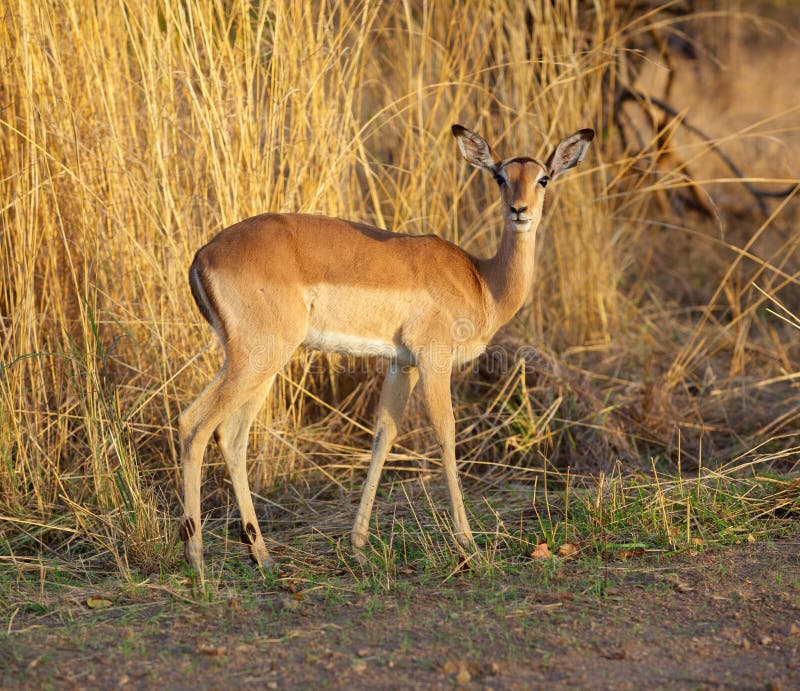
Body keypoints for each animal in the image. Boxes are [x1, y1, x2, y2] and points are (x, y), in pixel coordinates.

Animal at [178, 124, 594, 572]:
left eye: (543, 178)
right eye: (500, 176)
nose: (520, 210)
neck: (483, 282)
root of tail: (201, 256)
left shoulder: (402, 364)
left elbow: (383, 436)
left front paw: (358, 546)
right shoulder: (434, 359)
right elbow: (446, 434)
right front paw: (468, 543)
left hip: (262, 365)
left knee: (231, 437)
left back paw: (263, 556)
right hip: (257, 357)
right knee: (193, 424)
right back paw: (196, 556)